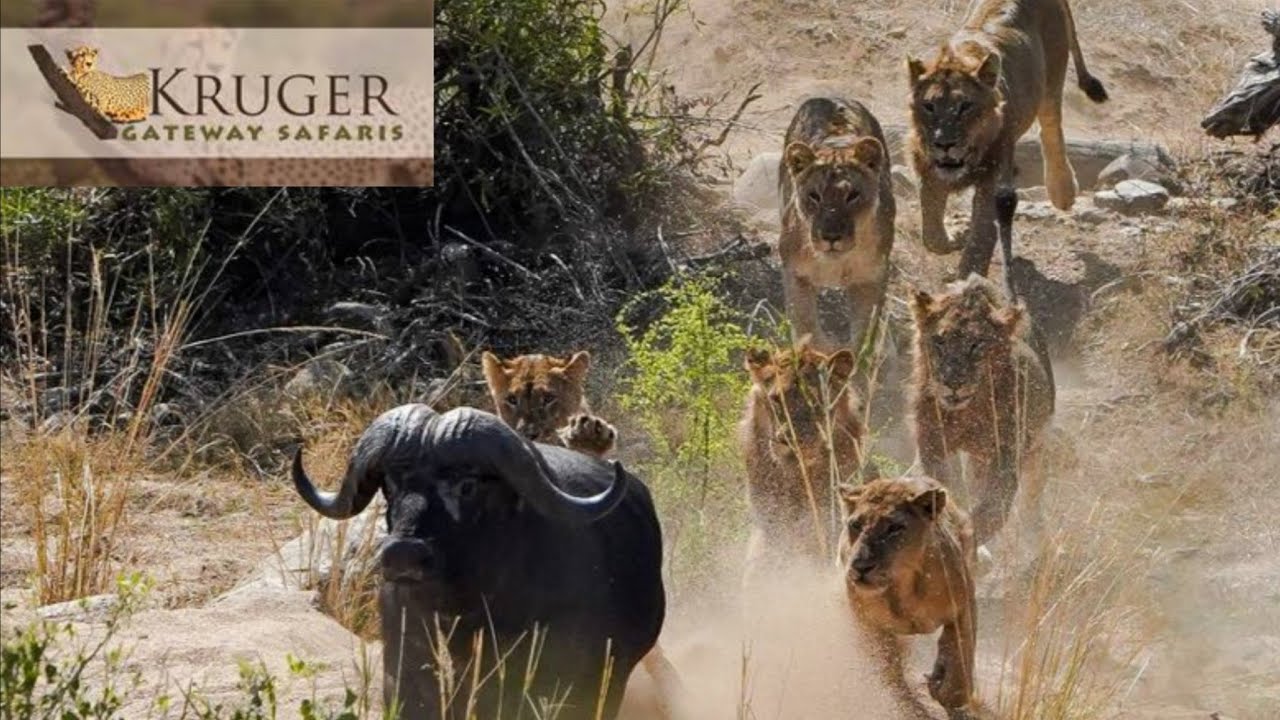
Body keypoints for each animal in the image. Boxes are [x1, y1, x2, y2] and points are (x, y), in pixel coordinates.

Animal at [779, 97, 896, 353]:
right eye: (814, 196)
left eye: (852, 196)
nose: (831, 236)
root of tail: (831, 97)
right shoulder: (795, 273)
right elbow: (807, 327)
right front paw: (826, 351)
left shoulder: (871, 278)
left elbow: (864, 334)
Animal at [838, 476, 977, 715]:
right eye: (855, 525)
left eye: (894, 528)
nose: (861, 567)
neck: (903, 589)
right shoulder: (869, 626)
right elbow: (890, 677)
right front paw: (908, 705)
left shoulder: (964, 605)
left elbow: (961, 655)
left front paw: (944, 690)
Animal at [906, 0, 1108, 278]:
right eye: (929, 106)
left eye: (965, 106)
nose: (944, 144)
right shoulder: (927, 170)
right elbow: (932, 234)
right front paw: (957, 234)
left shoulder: (994, 176)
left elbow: (981, 236)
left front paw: (969, 279)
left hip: (1051, 75)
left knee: (1050, 129)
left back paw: (1063, 192)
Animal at [909, 209, 1055, 548]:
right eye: (939, 341)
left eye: (976, 346)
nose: (952, 383)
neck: (968, 413)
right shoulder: (933, 444)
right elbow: (947, 487)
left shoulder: (1006, 455)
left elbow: (992, 511)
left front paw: (966, 539)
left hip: (1035, 449)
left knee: (1031, 498)